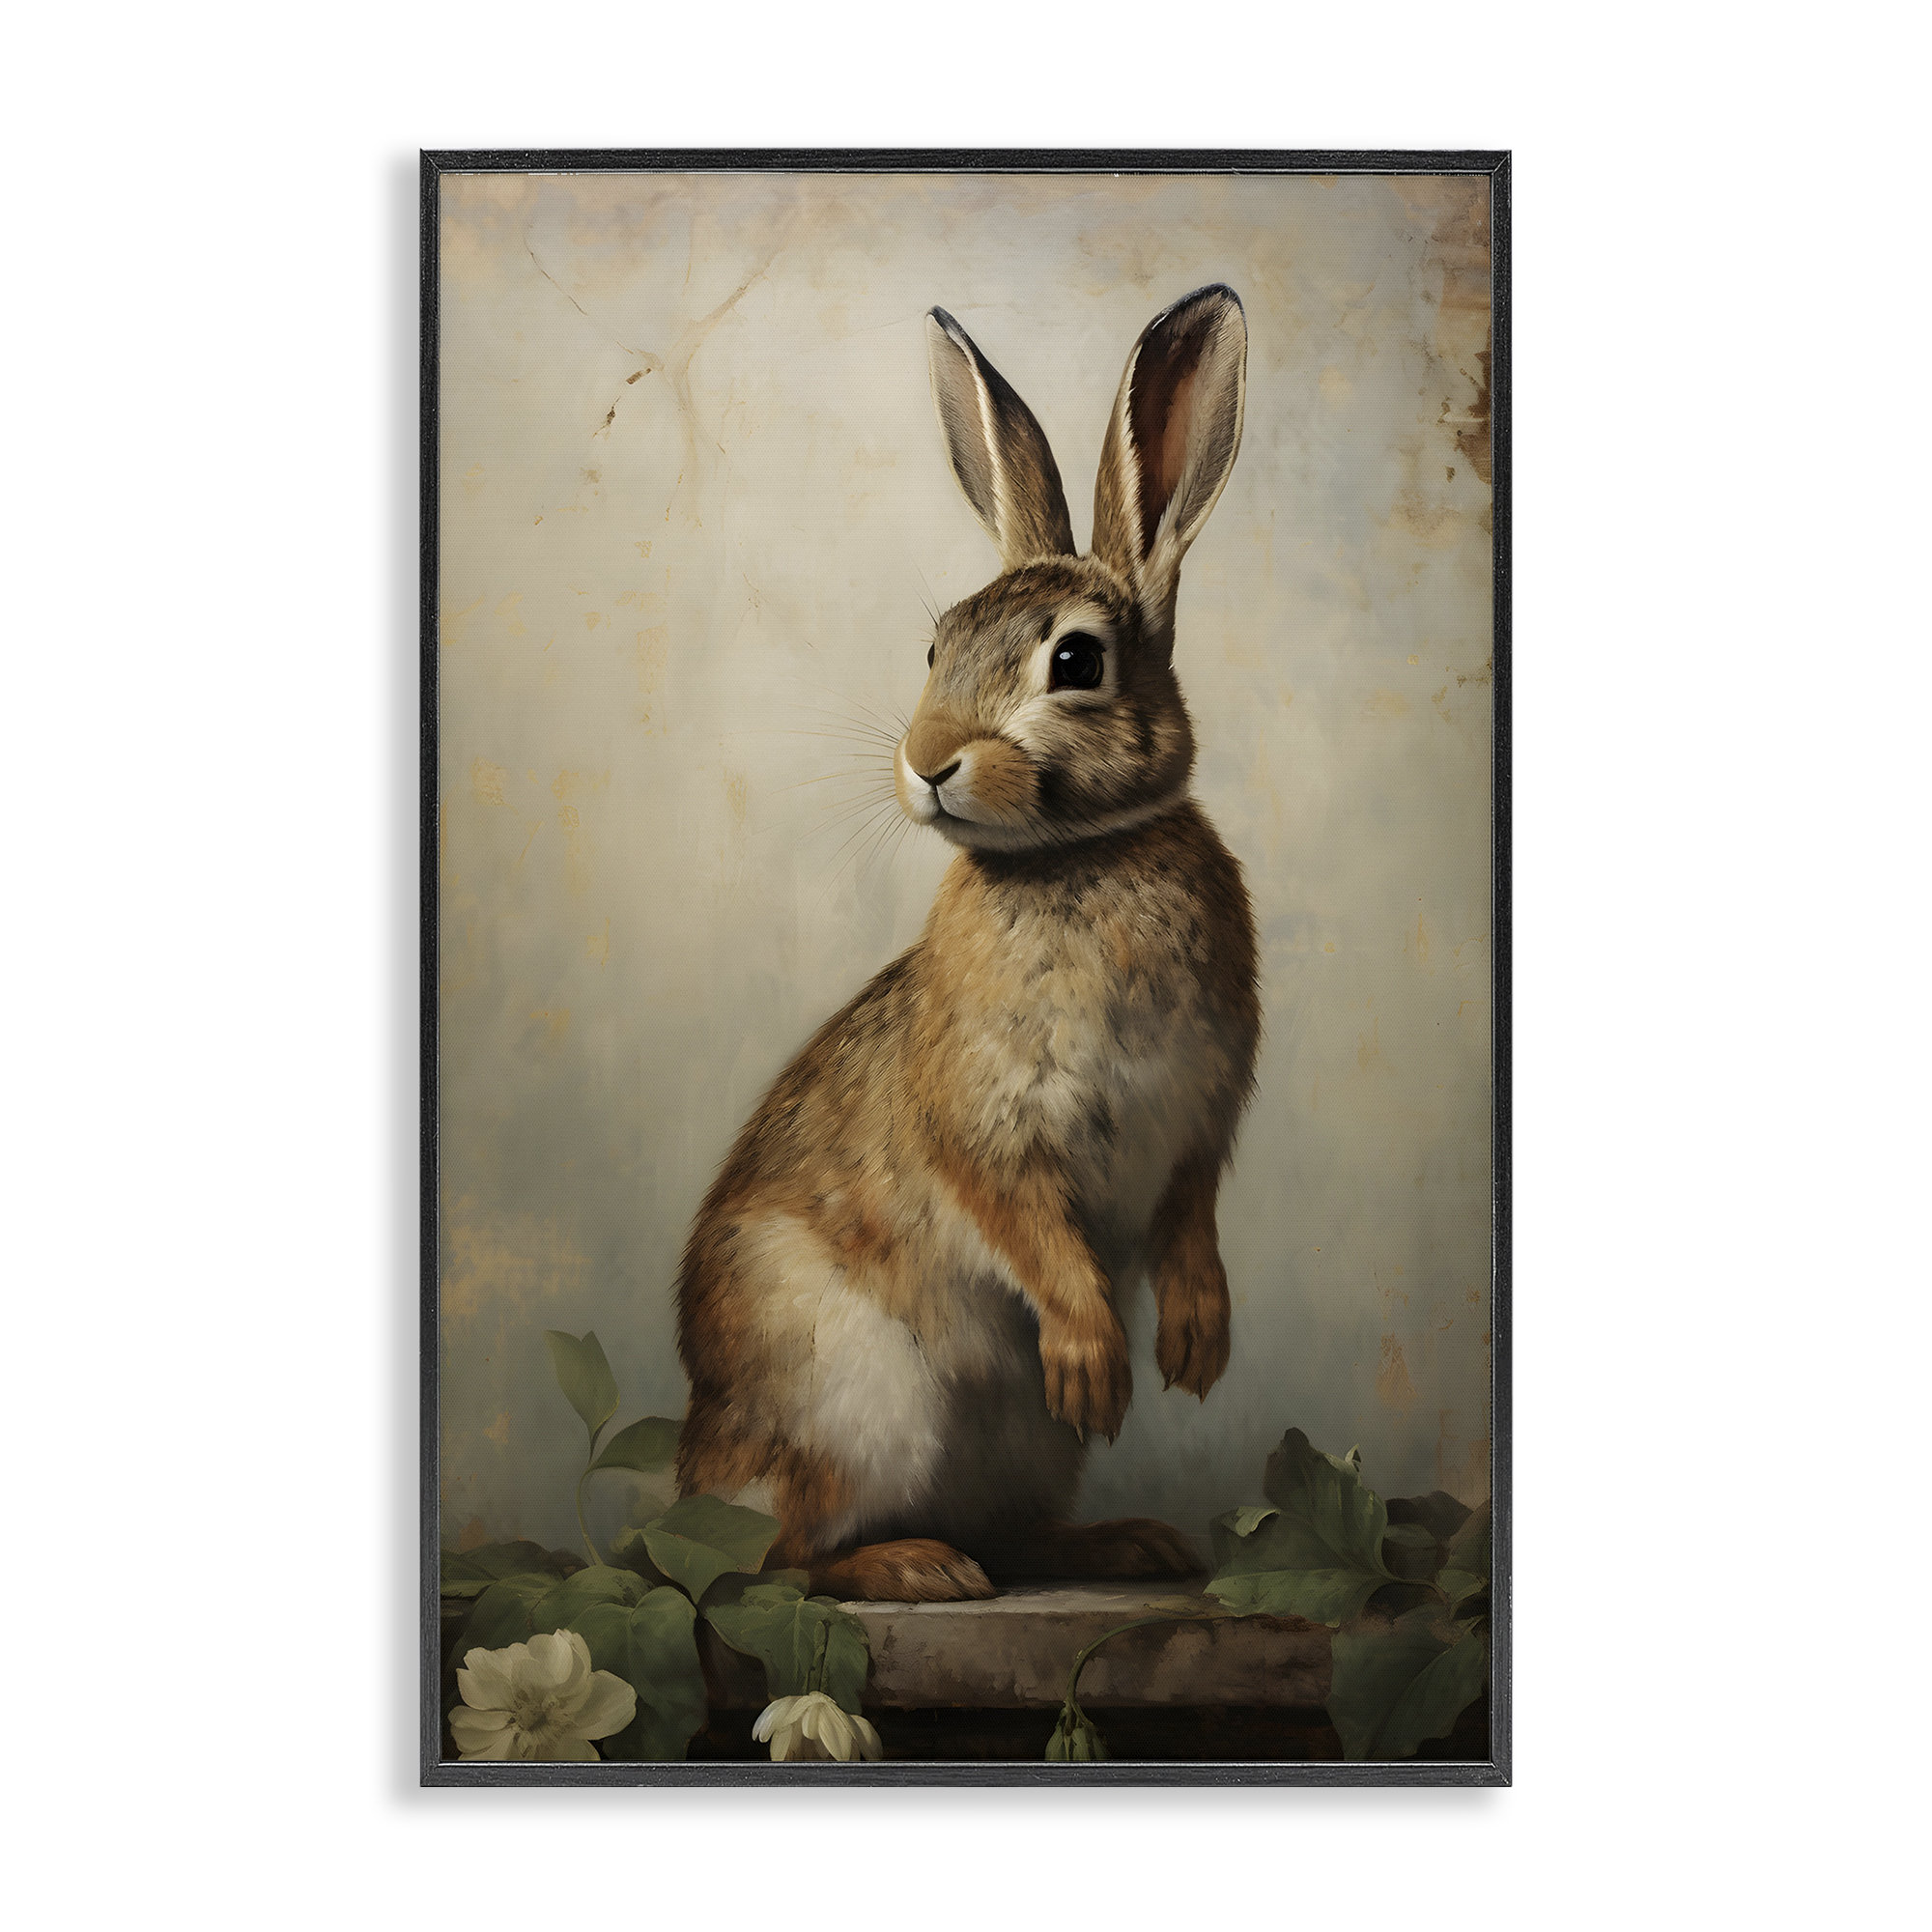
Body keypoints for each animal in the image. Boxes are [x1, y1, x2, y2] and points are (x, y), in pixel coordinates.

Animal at [675, 286, 1260, 1602]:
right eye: (935, 647)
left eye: (1075, 661)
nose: (927, 758)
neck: (1075, 856)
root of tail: (693, 1472)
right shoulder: (990, 1125)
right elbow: (1030, 1230)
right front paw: (1098, 1356)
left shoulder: (1201, 1116)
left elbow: (1191, 1216)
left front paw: (1195, 1344)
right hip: (855, 1400)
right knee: (781, 1558)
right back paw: (912, 1566)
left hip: (1016, 1449)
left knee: (1006, 1531)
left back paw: (1122, 1542)